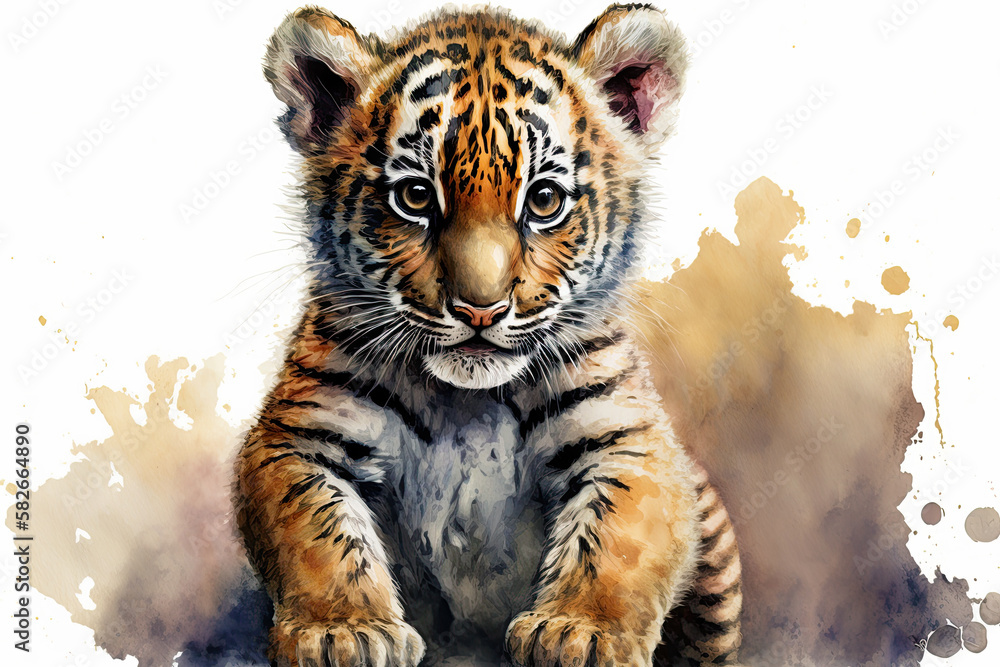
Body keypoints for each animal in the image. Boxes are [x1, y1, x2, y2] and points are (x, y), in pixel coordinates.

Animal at [234, 4, 743, 666]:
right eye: (415, 196)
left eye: (544, 199)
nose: (480, 310)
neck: (467, 403)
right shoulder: (298, 435)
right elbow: (318, 533)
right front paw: (343, 630)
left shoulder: (626, 437)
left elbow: (617, 537)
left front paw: (581, 631)